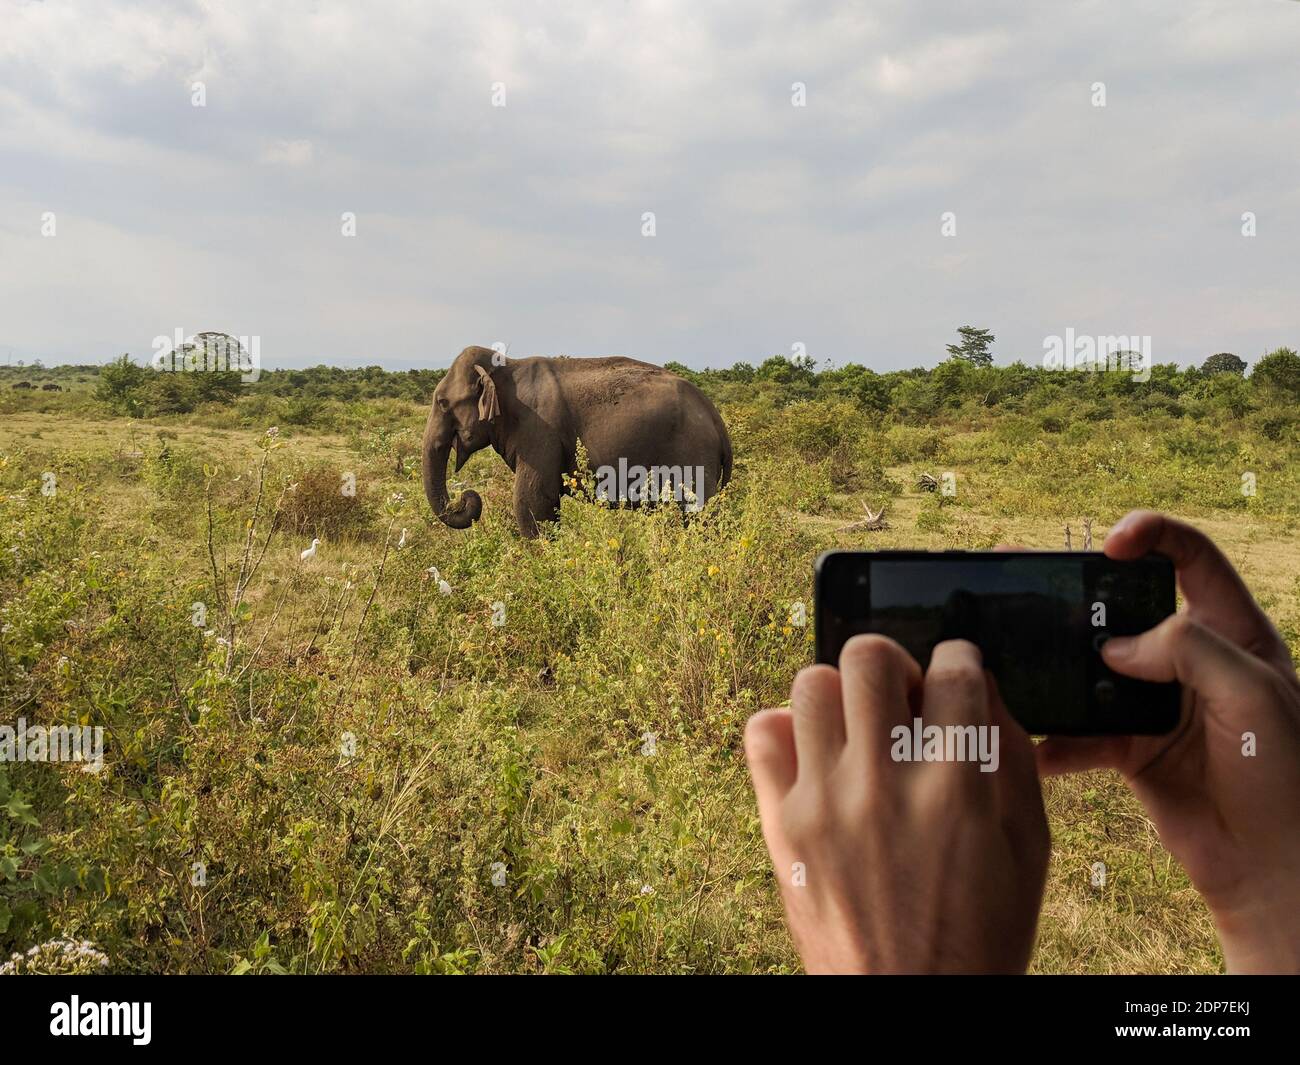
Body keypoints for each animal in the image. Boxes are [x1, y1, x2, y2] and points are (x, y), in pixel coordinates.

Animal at [422, 346, 733, 537]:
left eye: (443, 402)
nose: (467, 497)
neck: (506, 367)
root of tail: (717, 419)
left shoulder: (539, 432)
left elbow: (532, 502)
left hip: (693, 455)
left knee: (695, 513)